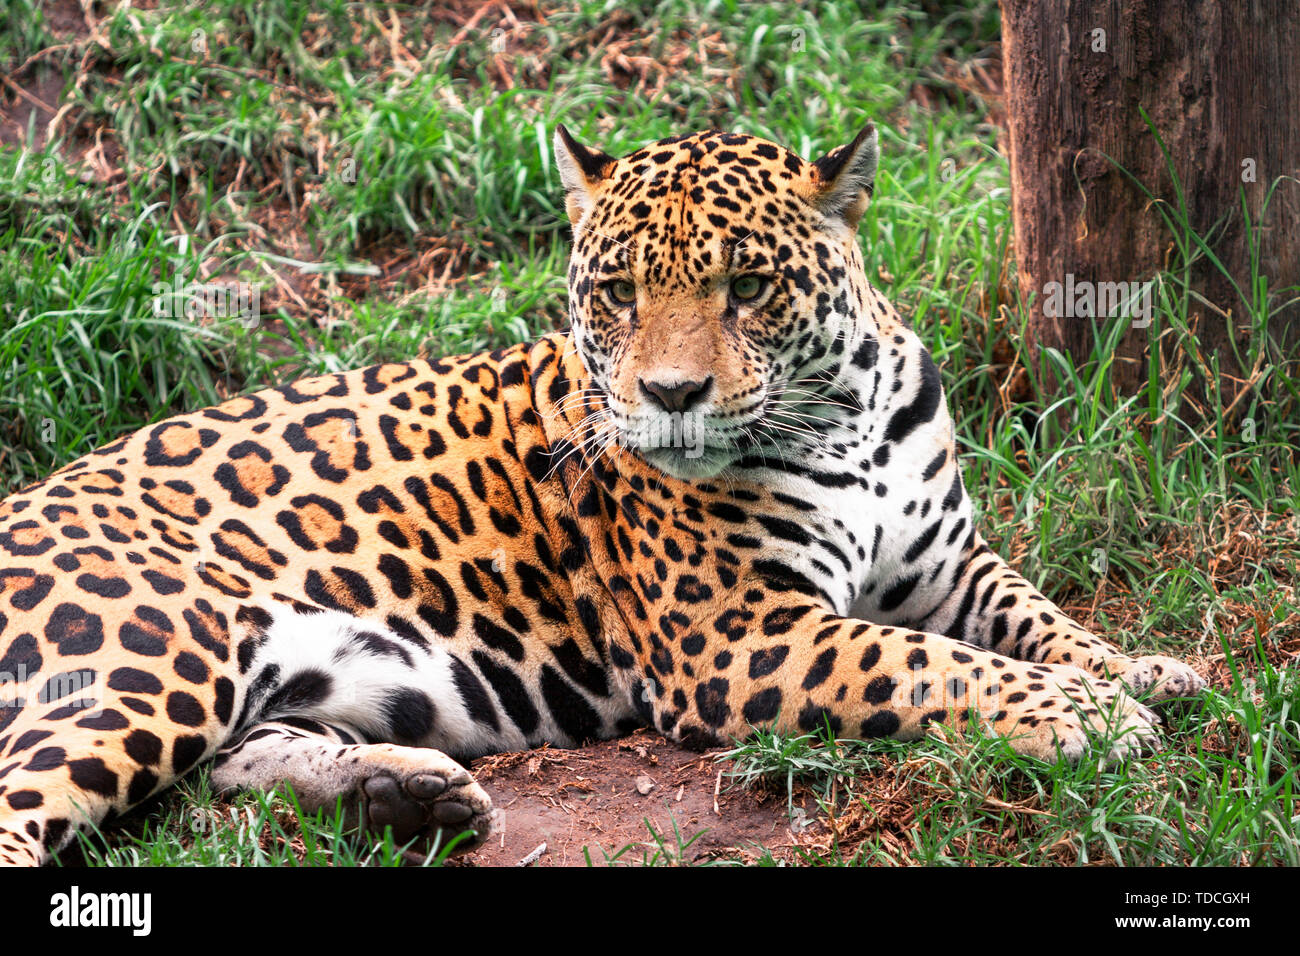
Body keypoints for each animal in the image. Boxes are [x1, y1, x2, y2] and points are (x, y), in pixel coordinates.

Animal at [0, 123, 1206, 866]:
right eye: (619, 291)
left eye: (747, 284)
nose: (670, 395)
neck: (843, 416)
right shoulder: (741, 633)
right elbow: (926, 661)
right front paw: (1092, 713)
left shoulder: (947, 562)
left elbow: (1034, 616)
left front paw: (1140, 669)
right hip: (151, 656)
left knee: (223, 768)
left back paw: (406, 795)